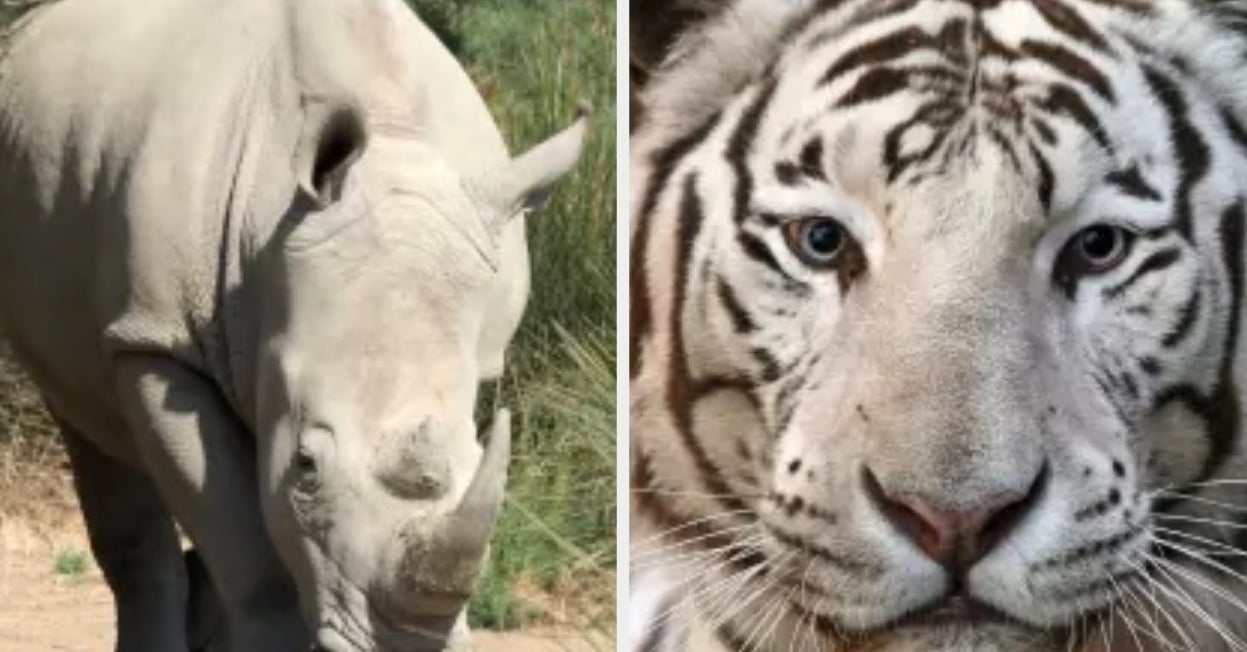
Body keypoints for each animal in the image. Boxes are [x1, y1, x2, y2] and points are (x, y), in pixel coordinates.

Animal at [0, 0, 588, 650]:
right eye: (305, 466)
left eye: (480, 455)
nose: (406, 643)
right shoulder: (158, 341)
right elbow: (249, 557)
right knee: (90, 424)